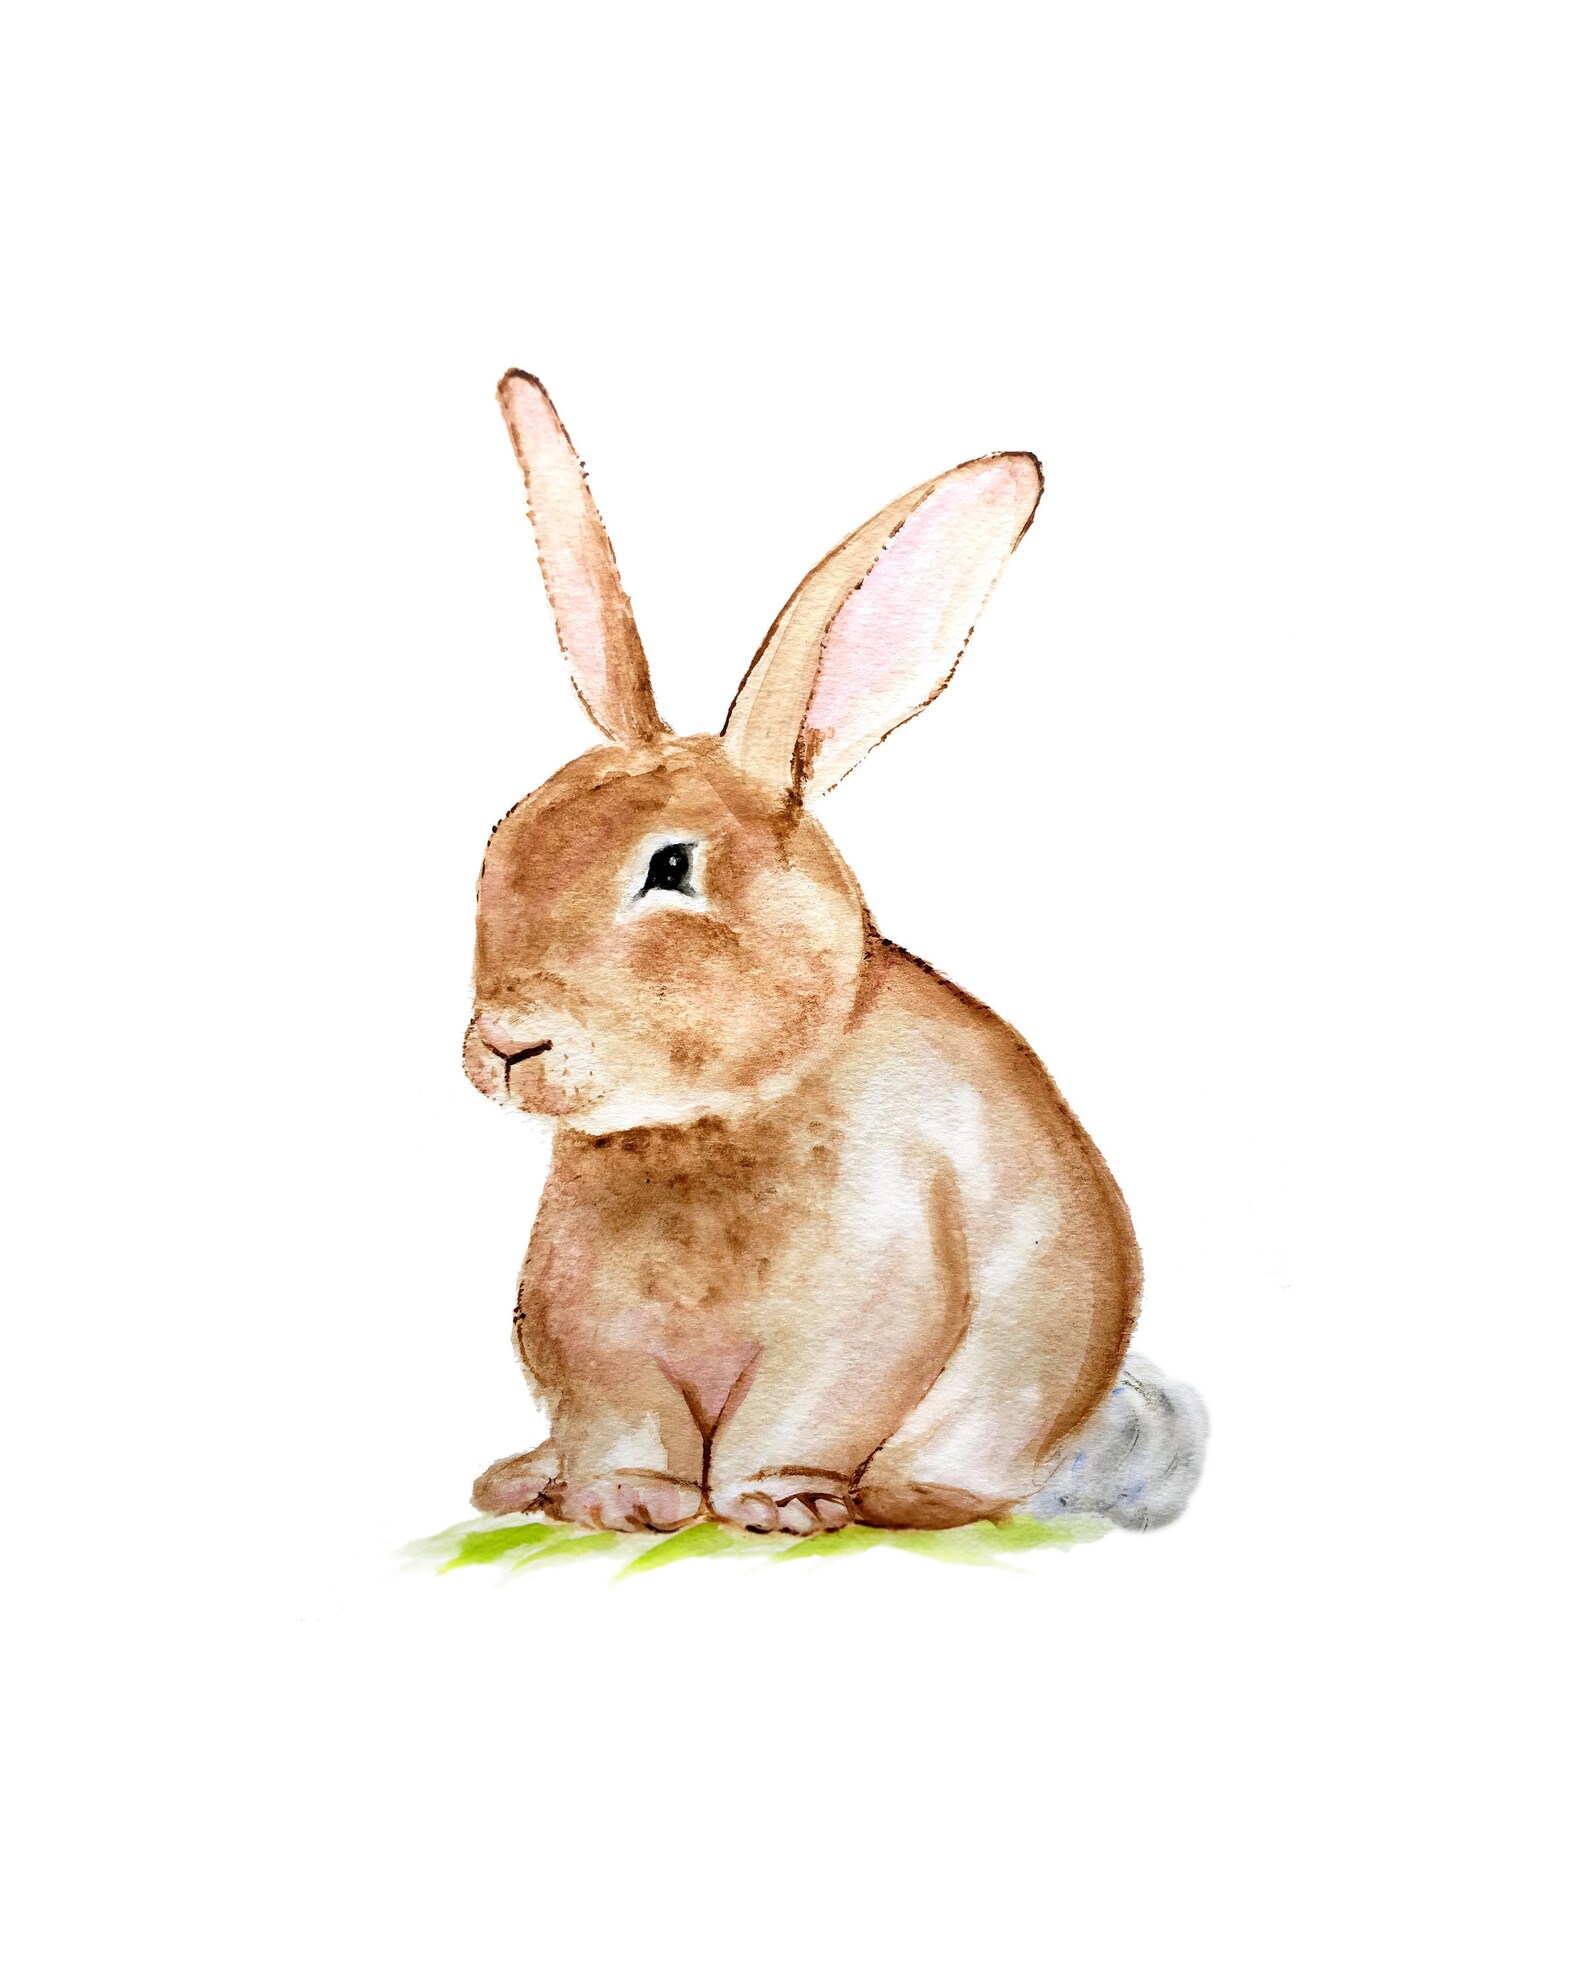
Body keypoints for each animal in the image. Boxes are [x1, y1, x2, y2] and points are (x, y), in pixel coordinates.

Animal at [464, 370, 1204, 1536]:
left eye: (669, 865)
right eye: (502, 840)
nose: (503, 1044)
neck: (712, 1122)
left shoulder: (876, 1302)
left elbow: (798, 1412)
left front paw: (775, 1507)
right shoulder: (592, 1332)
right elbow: (628, 1421)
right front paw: (623, 1504)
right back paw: (523, 1480)